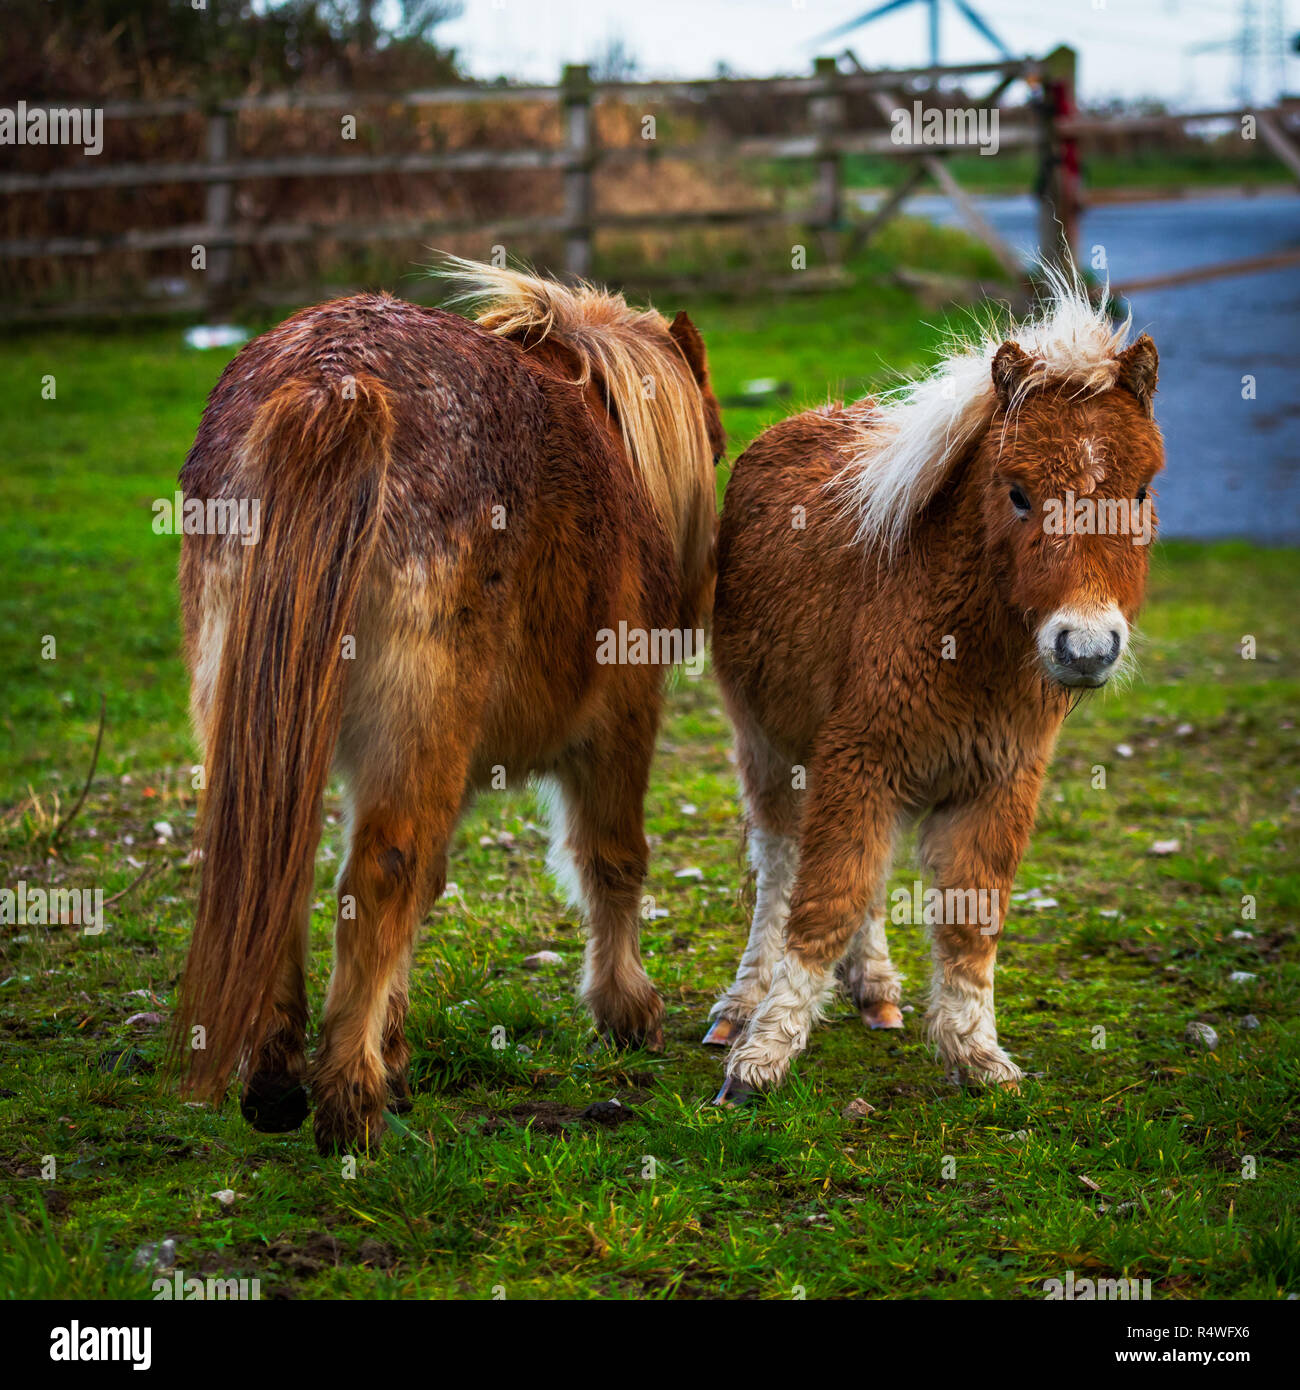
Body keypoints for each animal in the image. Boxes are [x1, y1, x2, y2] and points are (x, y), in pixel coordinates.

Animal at [172, 260, 725, 1153]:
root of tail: (334, 382)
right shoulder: (620, 726)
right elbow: (612, 860)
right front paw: (625, 1011)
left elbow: (427, 890)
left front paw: (394, 1052)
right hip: (416, 729)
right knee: (379, 874)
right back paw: (349, 1103)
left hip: (270, 729)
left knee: (280, 876)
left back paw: (281, 1084)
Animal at [704, 273, 1163, 1101]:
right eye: (1017, 493)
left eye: (1141, 491)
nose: (1084, 647)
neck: (962, 645)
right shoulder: (858, 758)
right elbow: (822, 902)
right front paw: (762, 1056)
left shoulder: (998, 782)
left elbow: (968, 920)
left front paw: (976, 1054)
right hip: (769, 744)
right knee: (780, 862)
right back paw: (743, 1005)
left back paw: (876, 991)